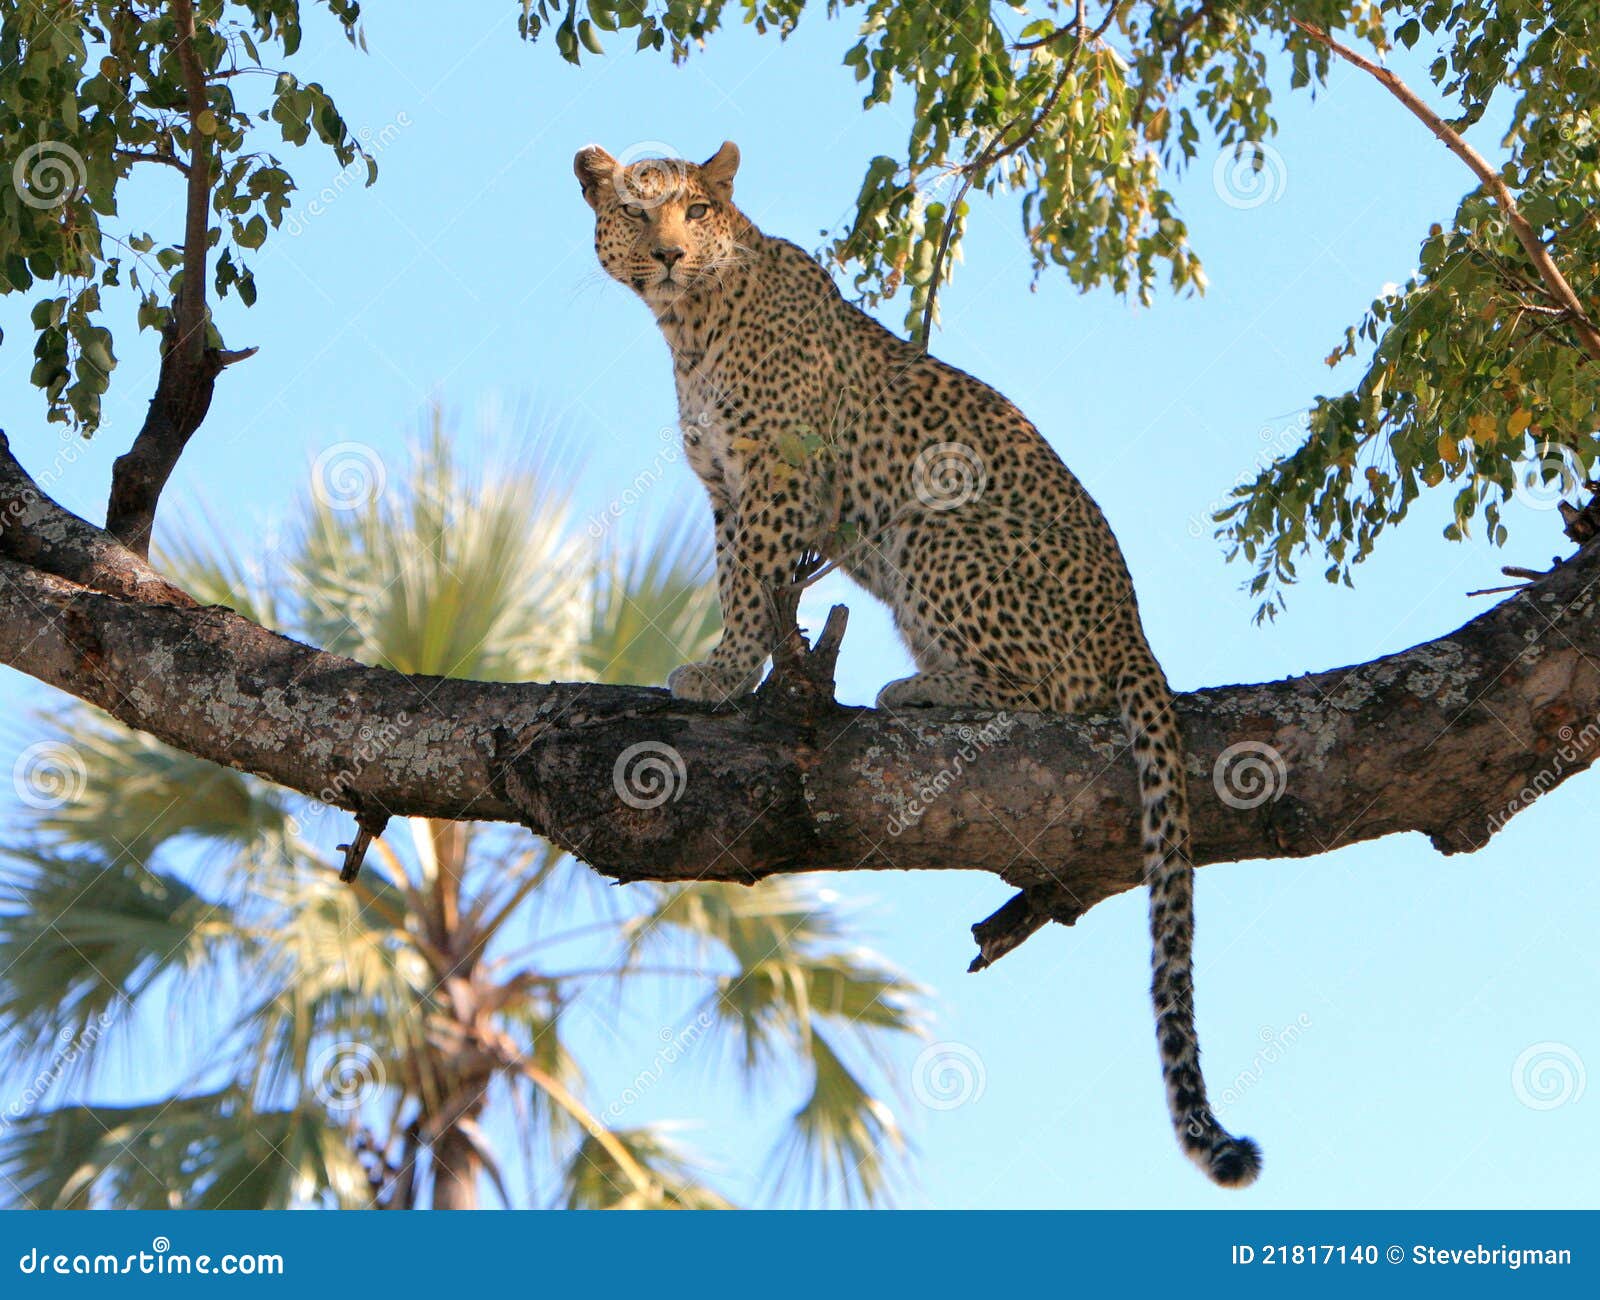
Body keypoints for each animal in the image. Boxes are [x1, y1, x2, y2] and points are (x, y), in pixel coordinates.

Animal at [575, 139, 1262, 1187]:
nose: (668, 254)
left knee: (1050, 694)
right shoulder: (728, 487)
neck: (687, 325)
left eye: (695, 207)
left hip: (938, 526)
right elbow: (740, 577)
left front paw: (726, 674)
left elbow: (748, 587)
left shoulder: (779, 474)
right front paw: (739, 670)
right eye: (634, 210)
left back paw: (920, 687)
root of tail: (1135, 631)